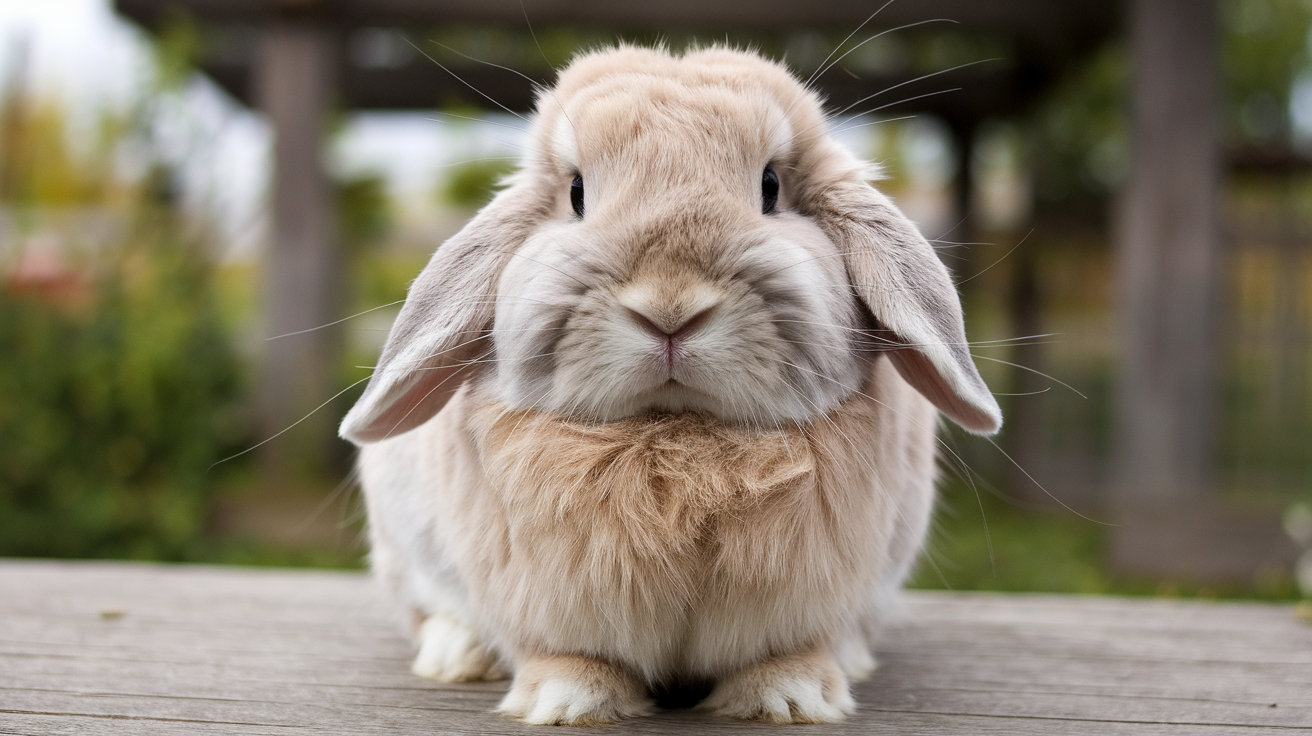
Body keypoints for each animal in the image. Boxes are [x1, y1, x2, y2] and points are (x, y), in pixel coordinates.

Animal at [339, 45, 1001, 725]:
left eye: (771, 187)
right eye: (576, 192)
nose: (670, 308)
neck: (679, 432)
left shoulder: (806, 608)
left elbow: (788, 651)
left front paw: (790, 698)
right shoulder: (545, 606)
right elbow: (565, 654)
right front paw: (569, 702)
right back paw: (457, 654)